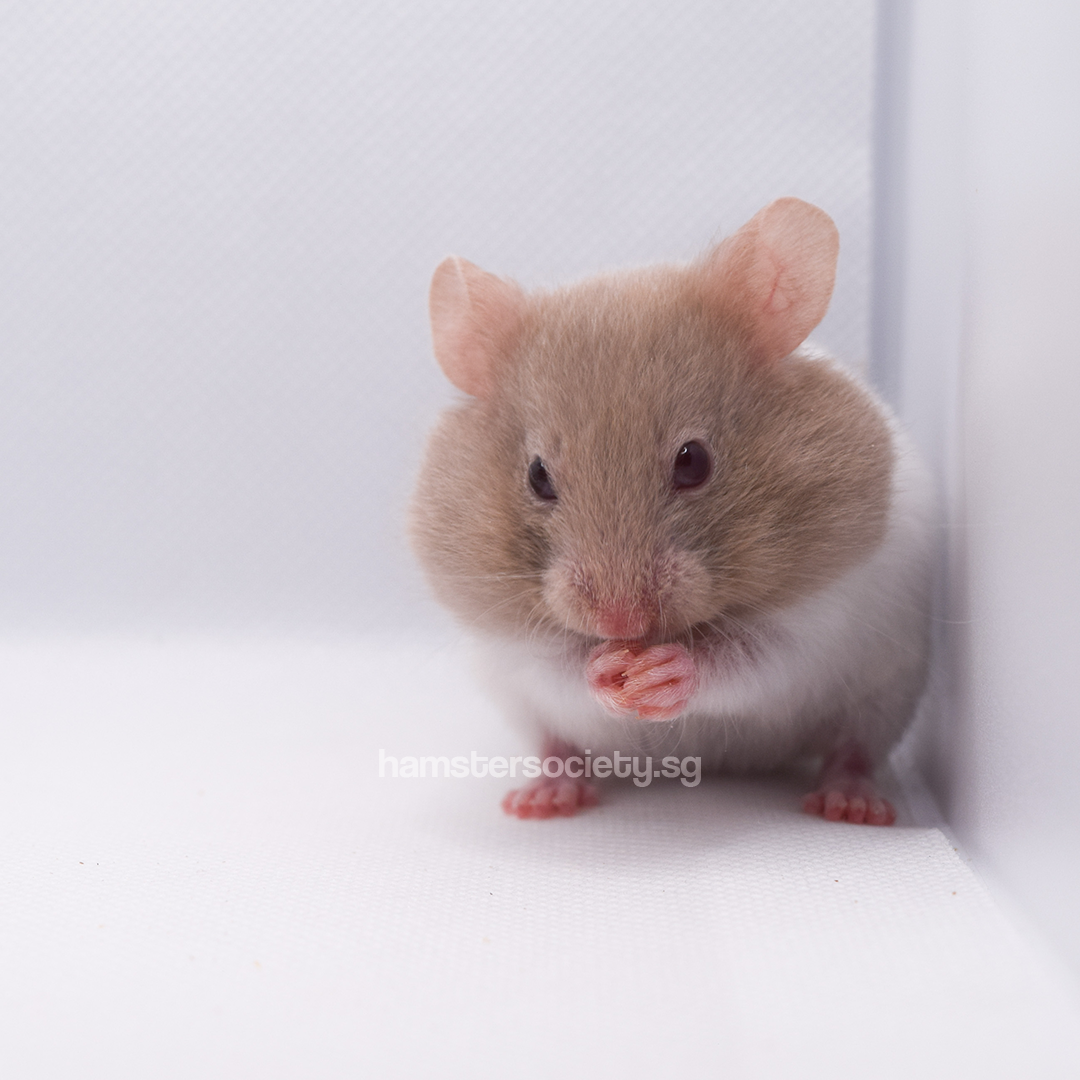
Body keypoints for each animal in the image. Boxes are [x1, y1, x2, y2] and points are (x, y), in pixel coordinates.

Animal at [410, 198, 933, 826]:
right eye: (537, 476)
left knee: (853, 750)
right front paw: (611, 674)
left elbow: (747, 659)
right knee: (558, 746)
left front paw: (660, 673)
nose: (620, 623)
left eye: (693, 461)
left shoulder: (817, 624)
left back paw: (851, 806)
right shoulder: (513, 651)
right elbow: (560, 666)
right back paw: (541, 801)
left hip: (886, 693)